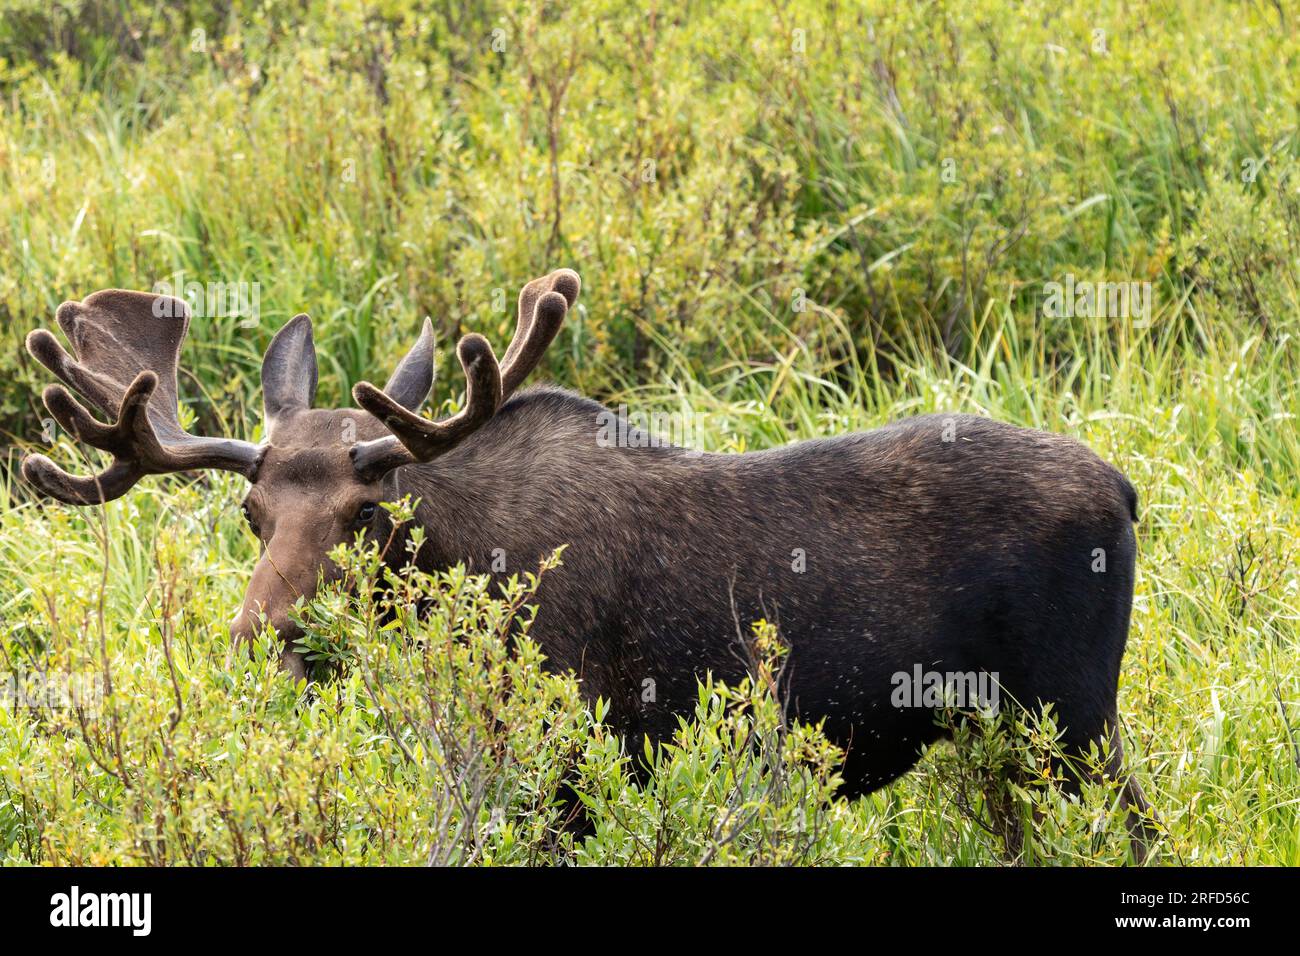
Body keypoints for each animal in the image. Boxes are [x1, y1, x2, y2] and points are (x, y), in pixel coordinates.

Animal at [21, 268, 1155, 859]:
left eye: (368, 513)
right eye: (252, 511)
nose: (267, 638)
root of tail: (1126, 490)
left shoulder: (555, 761)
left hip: (1075, 720)